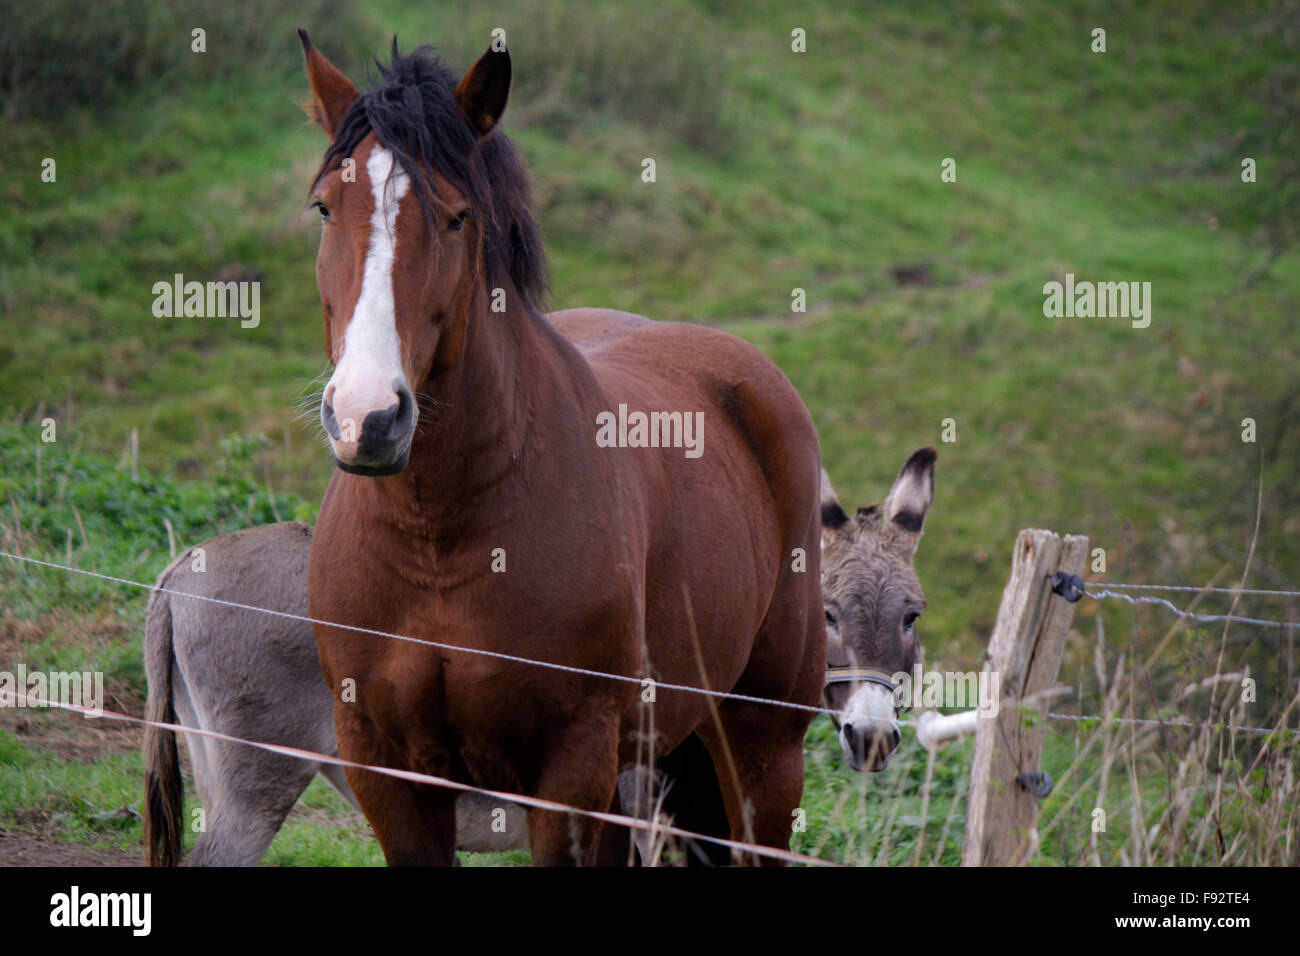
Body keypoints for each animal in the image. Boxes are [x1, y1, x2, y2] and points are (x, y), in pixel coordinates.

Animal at [297, 31, 826, 865]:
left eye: (457, 218)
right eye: (326, 207)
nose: (367, 417)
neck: (437, 539)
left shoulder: (571, 770)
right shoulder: (386, 769)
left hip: (762, 752)